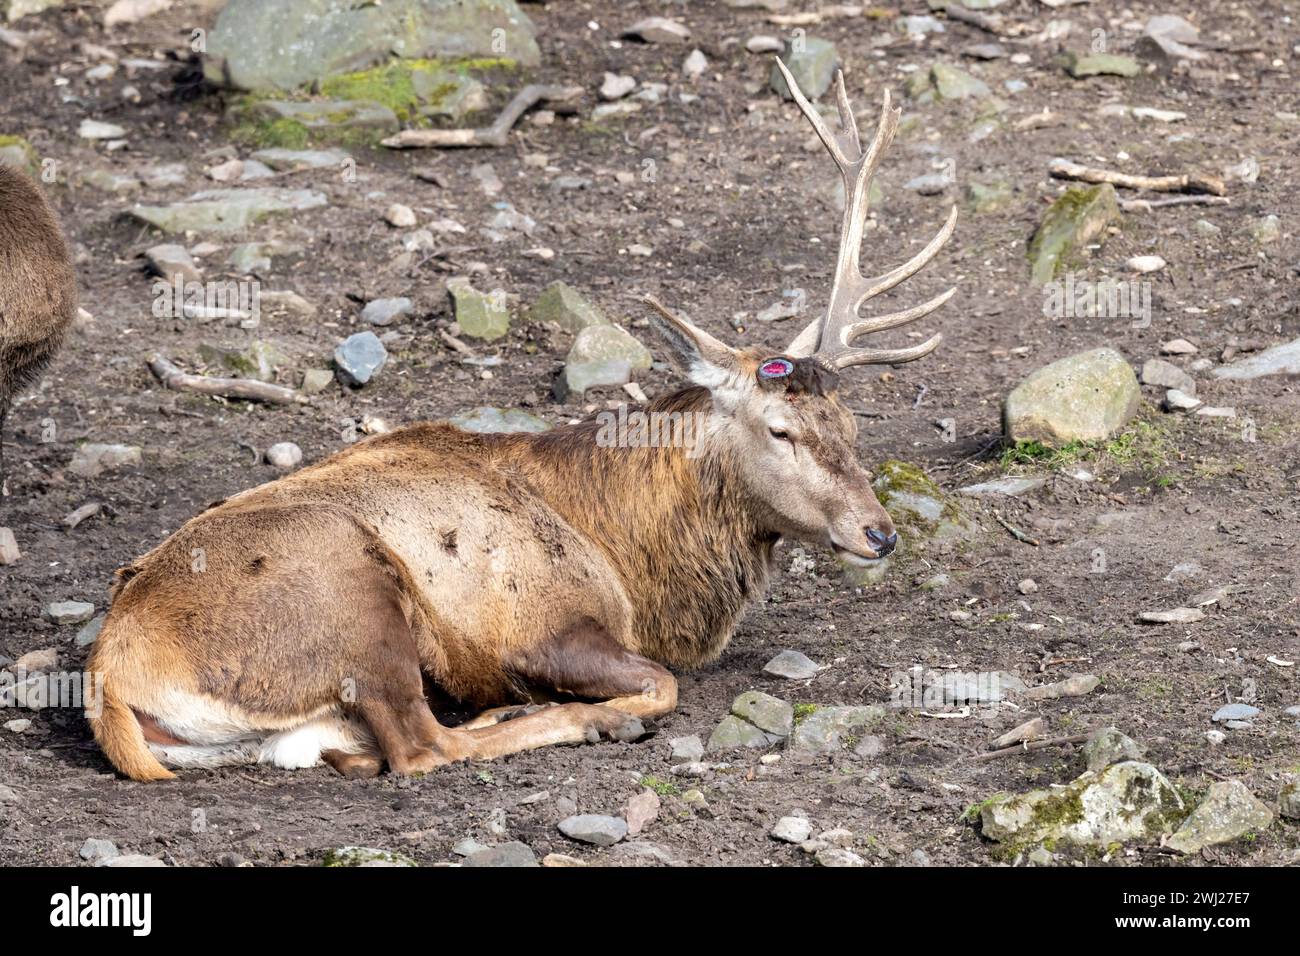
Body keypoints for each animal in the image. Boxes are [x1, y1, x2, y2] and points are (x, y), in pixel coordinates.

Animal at [86, 63, 957, 782]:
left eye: (851, 425)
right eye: (781, 430)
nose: (880, 531)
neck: (638, 558)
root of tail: (110, 678)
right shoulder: (541, 623)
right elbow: (660, 684)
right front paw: (588, 710)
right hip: (353, 594)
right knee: (421, 746)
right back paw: (562, 718)